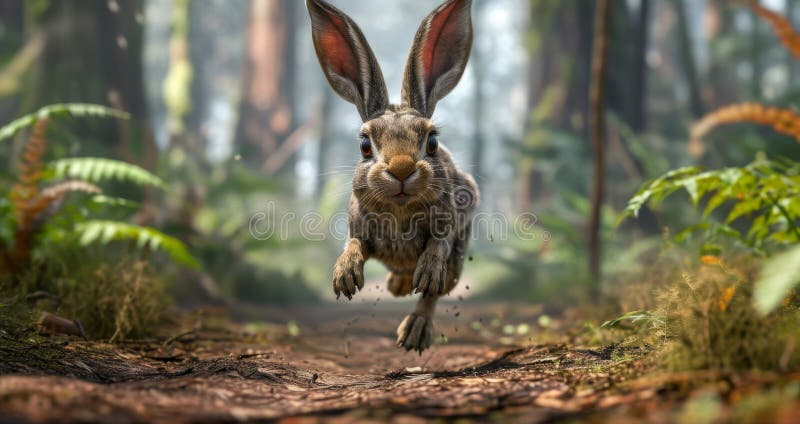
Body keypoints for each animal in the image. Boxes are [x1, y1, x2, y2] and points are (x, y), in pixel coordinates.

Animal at [307, 0, 478, 354]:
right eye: (364, 145)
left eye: (432, 142)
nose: (401, 169)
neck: (400, 210)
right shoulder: (360, 227)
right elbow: (354, 243)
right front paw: (344, 276)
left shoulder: (449, 223)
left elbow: (437, 248)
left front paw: (427, 271)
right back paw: (397, 286)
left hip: (456, 263)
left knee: (436, 292)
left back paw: (414, 329)